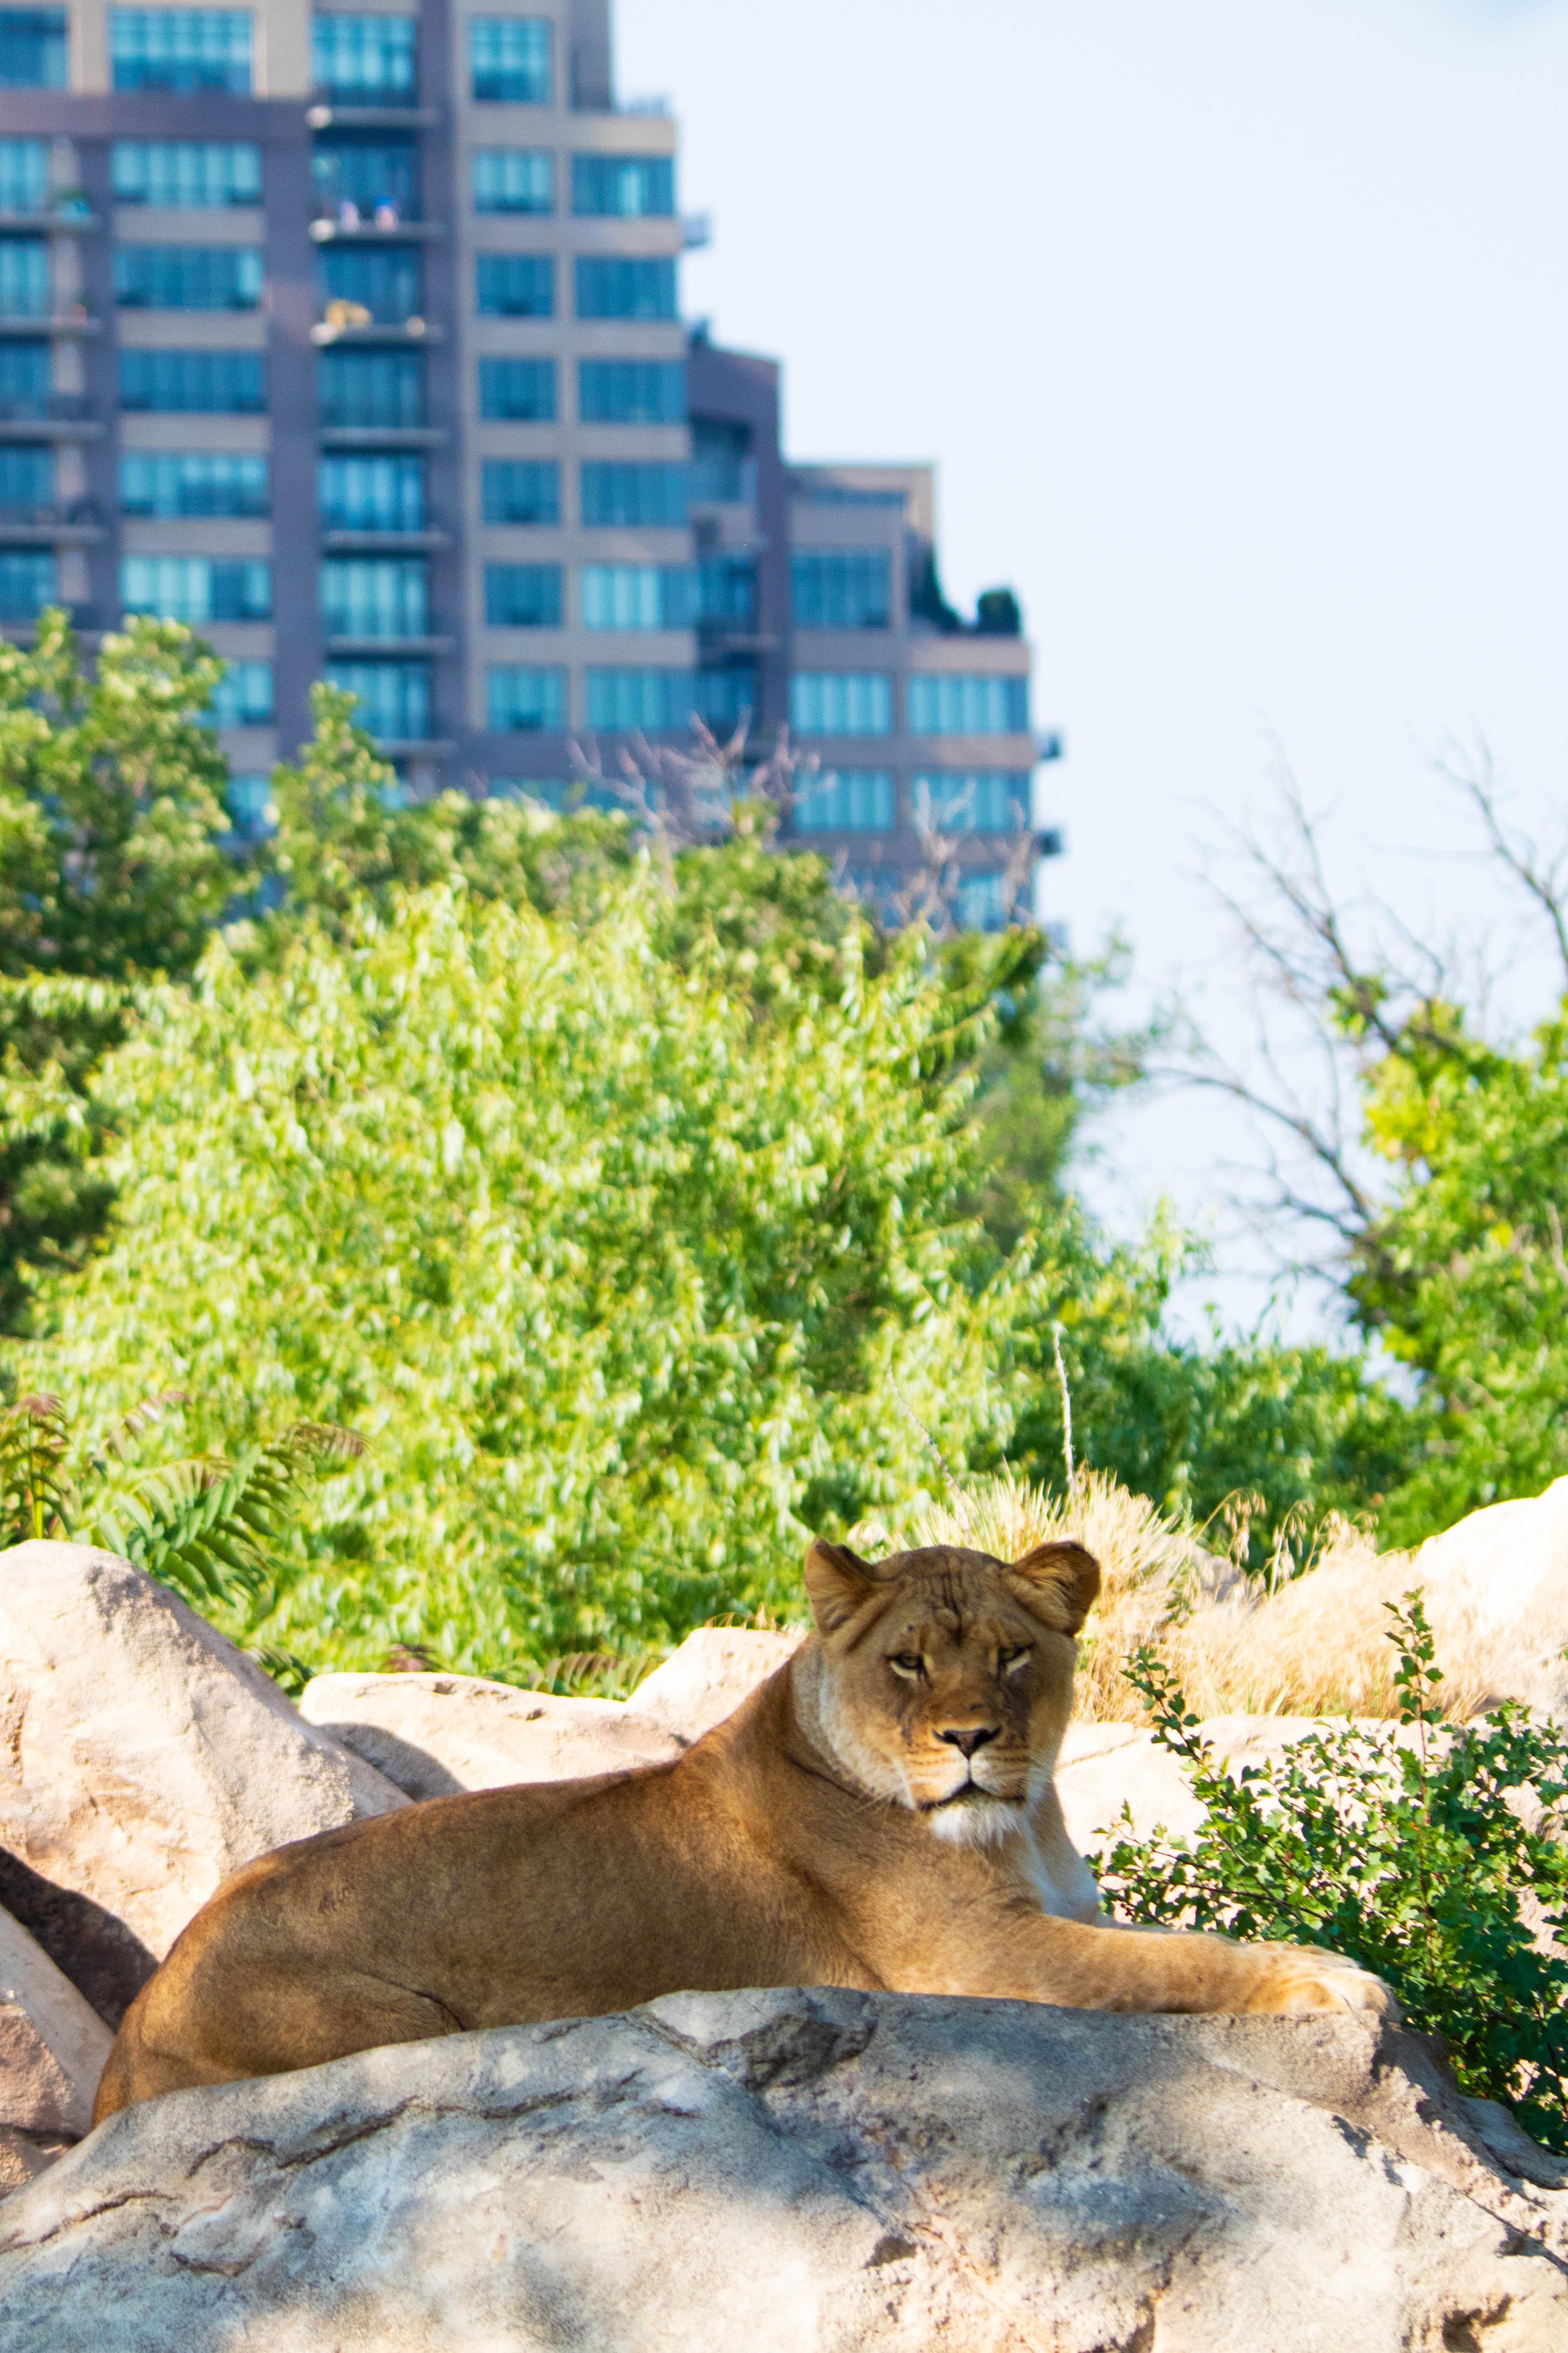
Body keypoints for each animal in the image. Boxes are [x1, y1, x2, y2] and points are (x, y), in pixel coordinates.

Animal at [93, 1536, 1391, 2121]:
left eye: (1013, 1654)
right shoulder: (986, 1961)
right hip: (392, 2029)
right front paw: (1335, 1978)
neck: (1024, 1820)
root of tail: (127, 2041)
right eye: (907, 1661)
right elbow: (1187, 1961)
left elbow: (1175, 1939)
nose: (971, 1736)